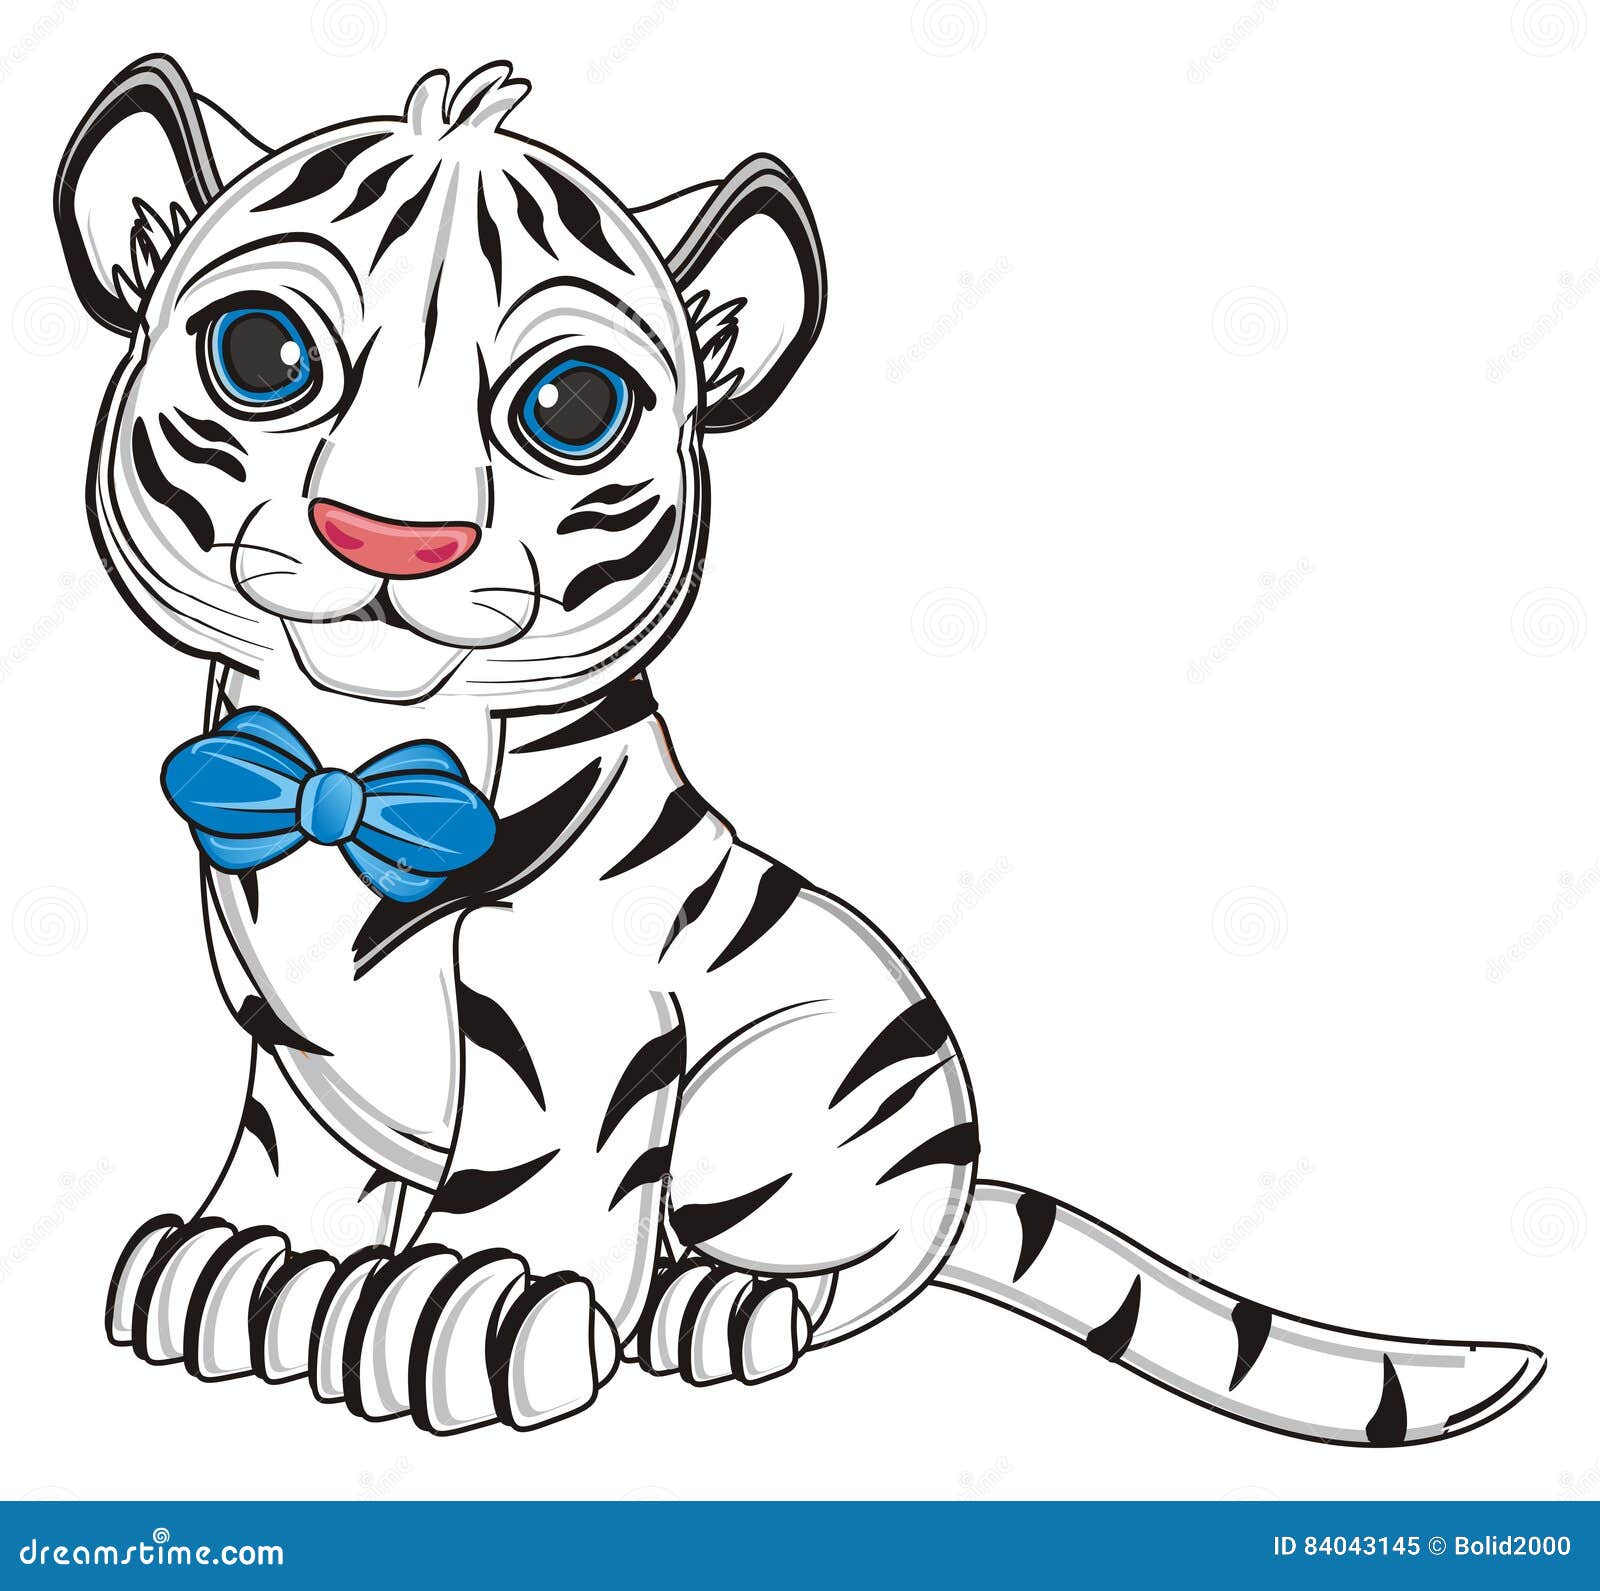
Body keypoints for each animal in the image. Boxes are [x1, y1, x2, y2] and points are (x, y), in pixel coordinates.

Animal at [53, 53, 1543, 1445]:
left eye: (572, 404)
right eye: (261, 354)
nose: (391, 538)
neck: (351, 767)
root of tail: (955, 1178)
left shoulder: (584, 1001)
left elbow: (542, 1155)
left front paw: (481, 1295)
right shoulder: (284, 1022)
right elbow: (289, 1146)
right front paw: (251, 1260)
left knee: (854, 1272)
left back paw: (728, 1301)